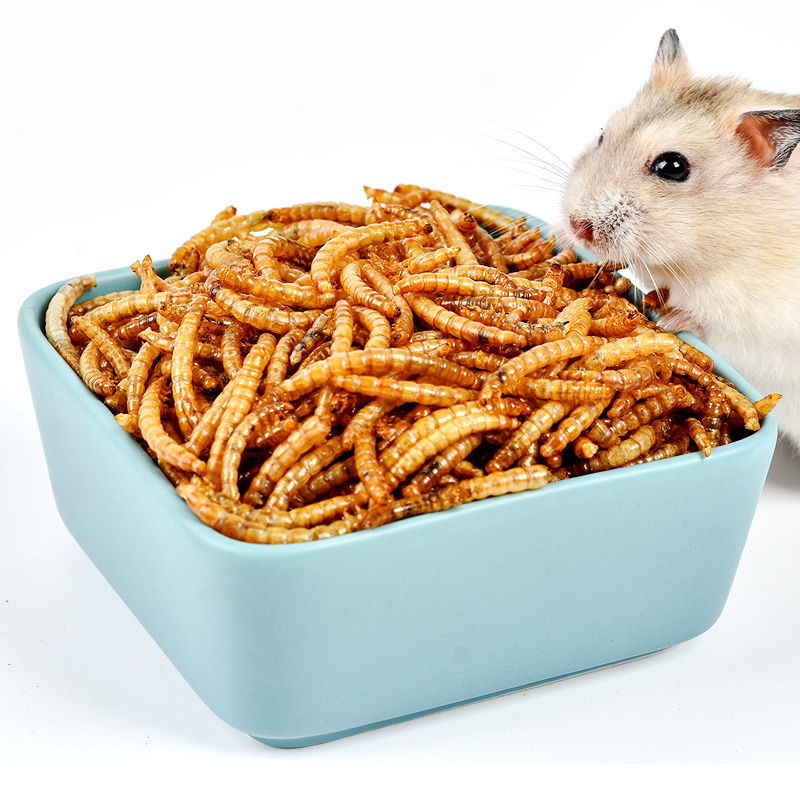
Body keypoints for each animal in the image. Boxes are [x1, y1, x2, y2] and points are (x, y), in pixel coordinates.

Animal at [562, 29, 800, 451]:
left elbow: (709, 321)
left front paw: (667, 319)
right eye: (603, 134)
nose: (576, 226)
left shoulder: (760, 328)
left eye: (672, 167)